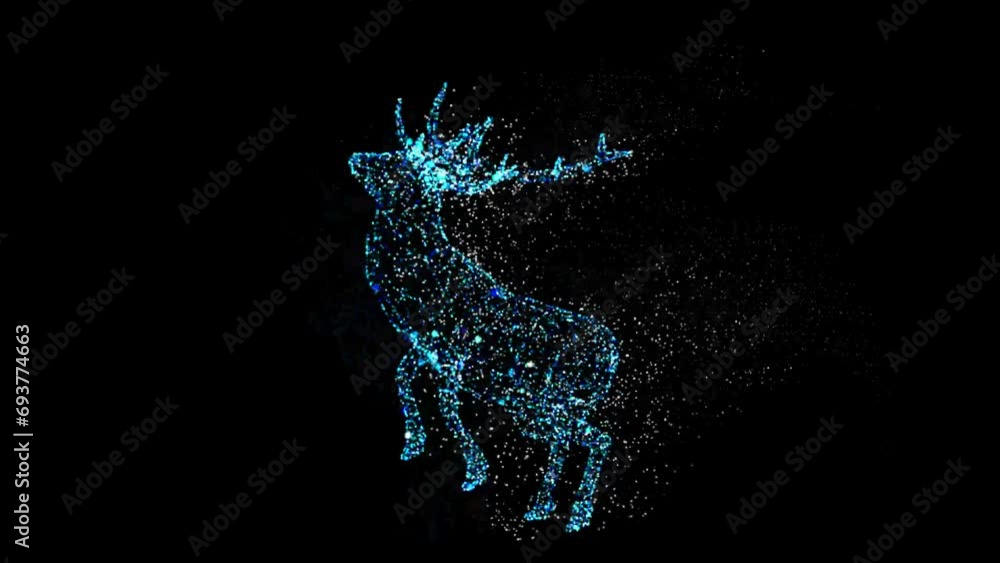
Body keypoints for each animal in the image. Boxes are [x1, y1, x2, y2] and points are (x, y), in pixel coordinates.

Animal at [348, 84, 631, 532]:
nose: (358, 158)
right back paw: (555, 510)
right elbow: (404, 376)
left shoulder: (455, 359)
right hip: (534, 402)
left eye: (399, 169)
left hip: (536, 398)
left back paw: (560, 511)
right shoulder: (430, 350)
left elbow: (448, 406)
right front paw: (413, 443)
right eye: (394, 155)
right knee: (580, 436)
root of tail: (610, 359)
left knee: (584, 437)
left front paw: (474, 470)